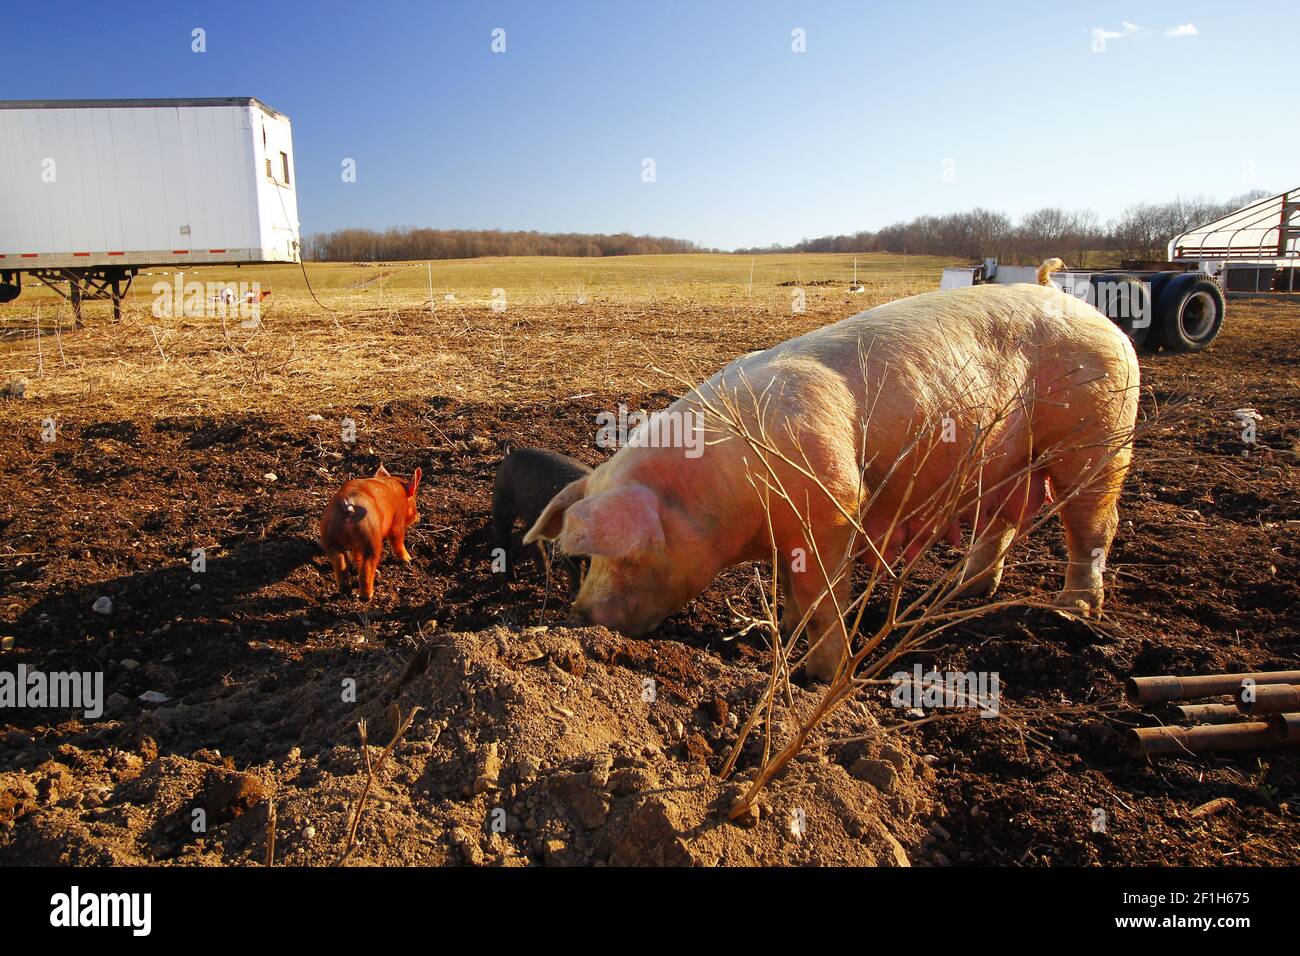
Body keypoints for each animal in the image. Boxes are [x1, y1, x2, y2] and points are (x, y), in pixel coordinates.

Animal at [320, 464, 422, 600]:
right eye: (414, 499)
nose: (418, 517)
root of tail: (349, 507)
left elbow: (356, 556)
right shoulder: (397, 522)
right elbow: (397, 541)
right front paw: (409, 559)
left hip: (330, 537)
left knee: (340, 562)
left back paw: (346, 590)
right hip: (370, 536)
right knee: (367, 566)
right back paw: (367, 596)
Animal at [492, 446, 592, 596]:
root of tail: (509, 455)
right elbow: (575, 573)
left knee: (529, 539)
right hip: (501, 502)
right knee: (502, 541)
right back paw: (511, 581)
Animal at [524, 267, 1139, 682]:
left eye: (620, 556)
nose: (579, 616)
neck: (728, 505)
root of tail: (1103, 321)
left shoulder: (835, 509)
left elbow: (824, 604)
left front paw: (815, 676)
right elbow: (793, 599)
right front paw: (785, 635)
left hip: (1100, 436)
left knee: (1093, 527)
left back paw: (1073, 612)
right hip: (1008, 465)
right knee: (1001, 524)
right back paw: (963, 589)